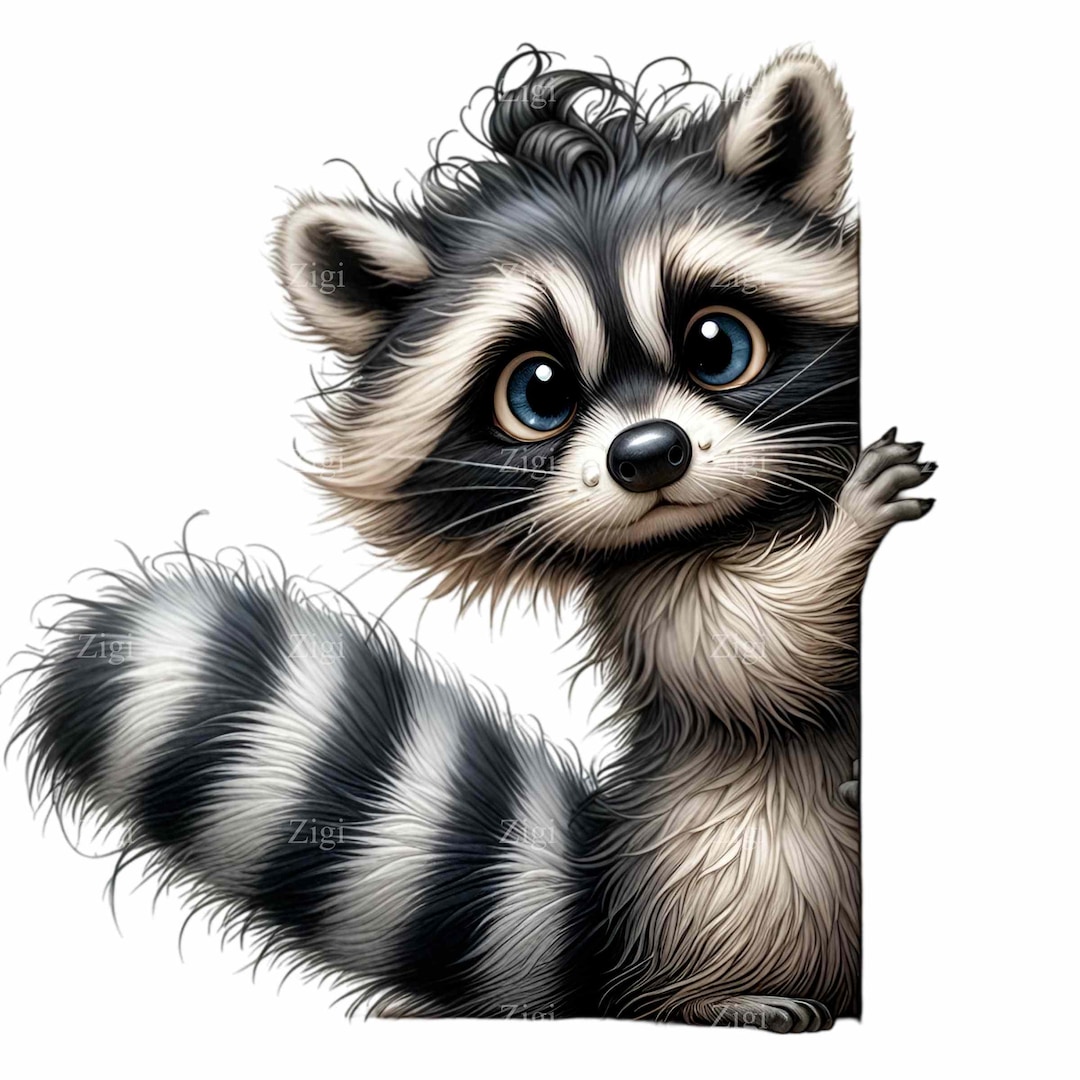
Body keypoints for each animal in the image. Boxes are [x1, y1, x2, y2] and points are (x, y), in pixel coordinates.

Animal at [13, 47, 934, 1031]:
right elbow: (754, 646)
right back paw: (715, 996)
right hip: (718, 860)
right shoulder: (652, 585)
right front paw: (846, 534)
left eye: (718, 346)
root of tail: (615, 921)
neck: (731, 518)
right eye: (537, 393)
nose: (650, 456)